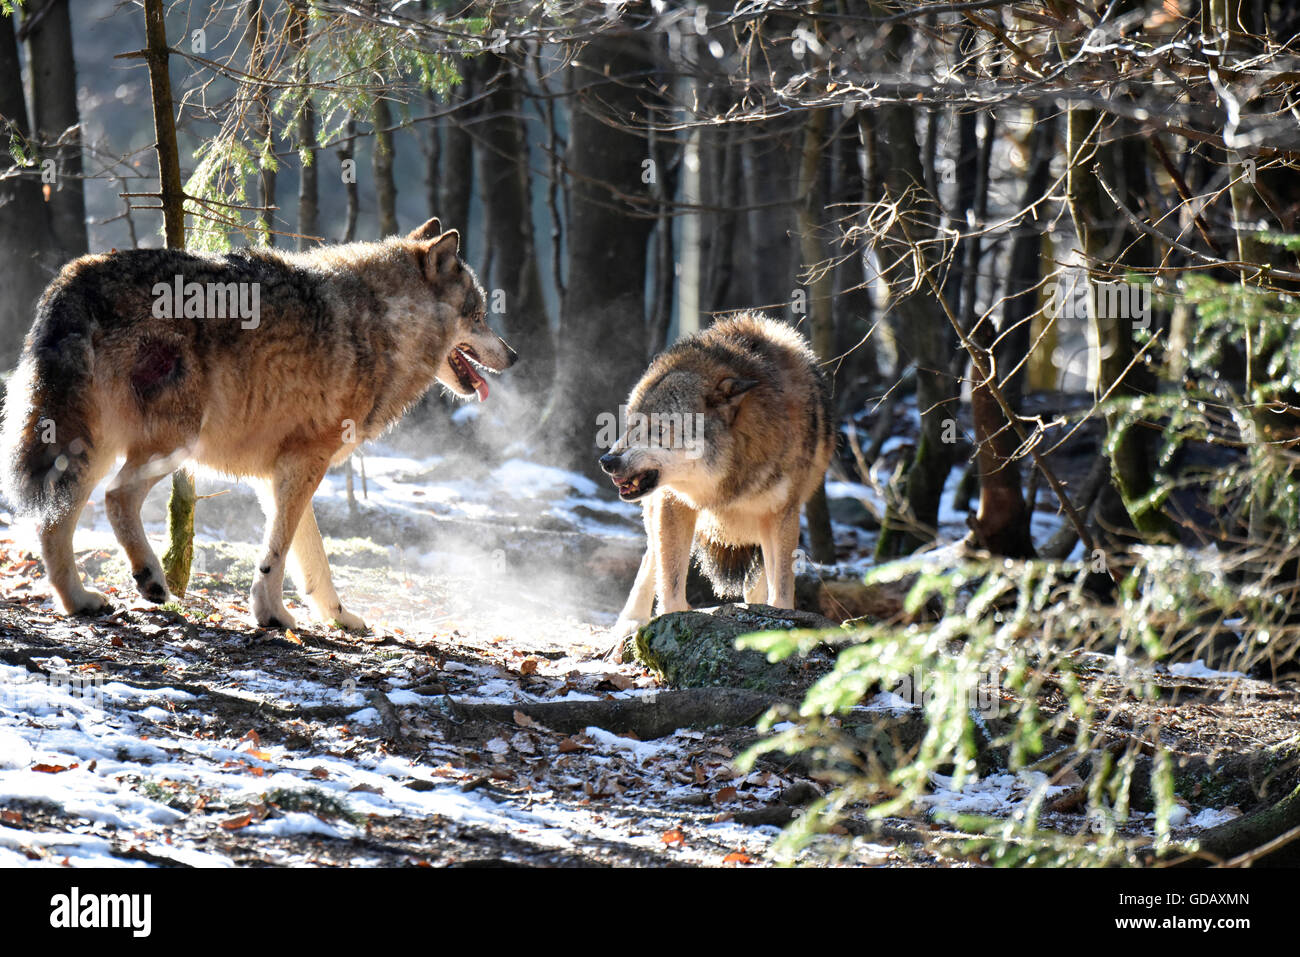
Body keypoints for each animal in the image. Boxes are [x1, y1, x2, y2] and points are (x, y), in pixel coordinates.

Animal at [1, 218, 516, 630]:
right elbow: (278, 552)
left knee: (53, 519)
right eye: (478, 316)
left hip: (88, 443)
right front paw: (271, 615)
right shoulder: (304, 462)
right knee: (115, 497)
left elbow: (312, 558)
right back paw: (149, 579)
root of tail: (75, 276)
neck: (384, 325)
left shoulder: (286, 471)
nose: (513, 356)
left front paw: (337, 617)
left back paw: (78, 601)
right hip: (172, 442)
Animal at [599, 312, 834, 643]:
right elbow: (670, 582)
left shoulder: (782, 514)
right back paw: (631, 623)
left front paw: (780, 621)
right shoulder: (673, 504)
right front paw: (669, 627)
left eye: (659, 429)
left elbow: (782, 586)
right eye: (630, 423)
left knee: (757, 582)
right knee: (650, 559)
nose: (607, 461)